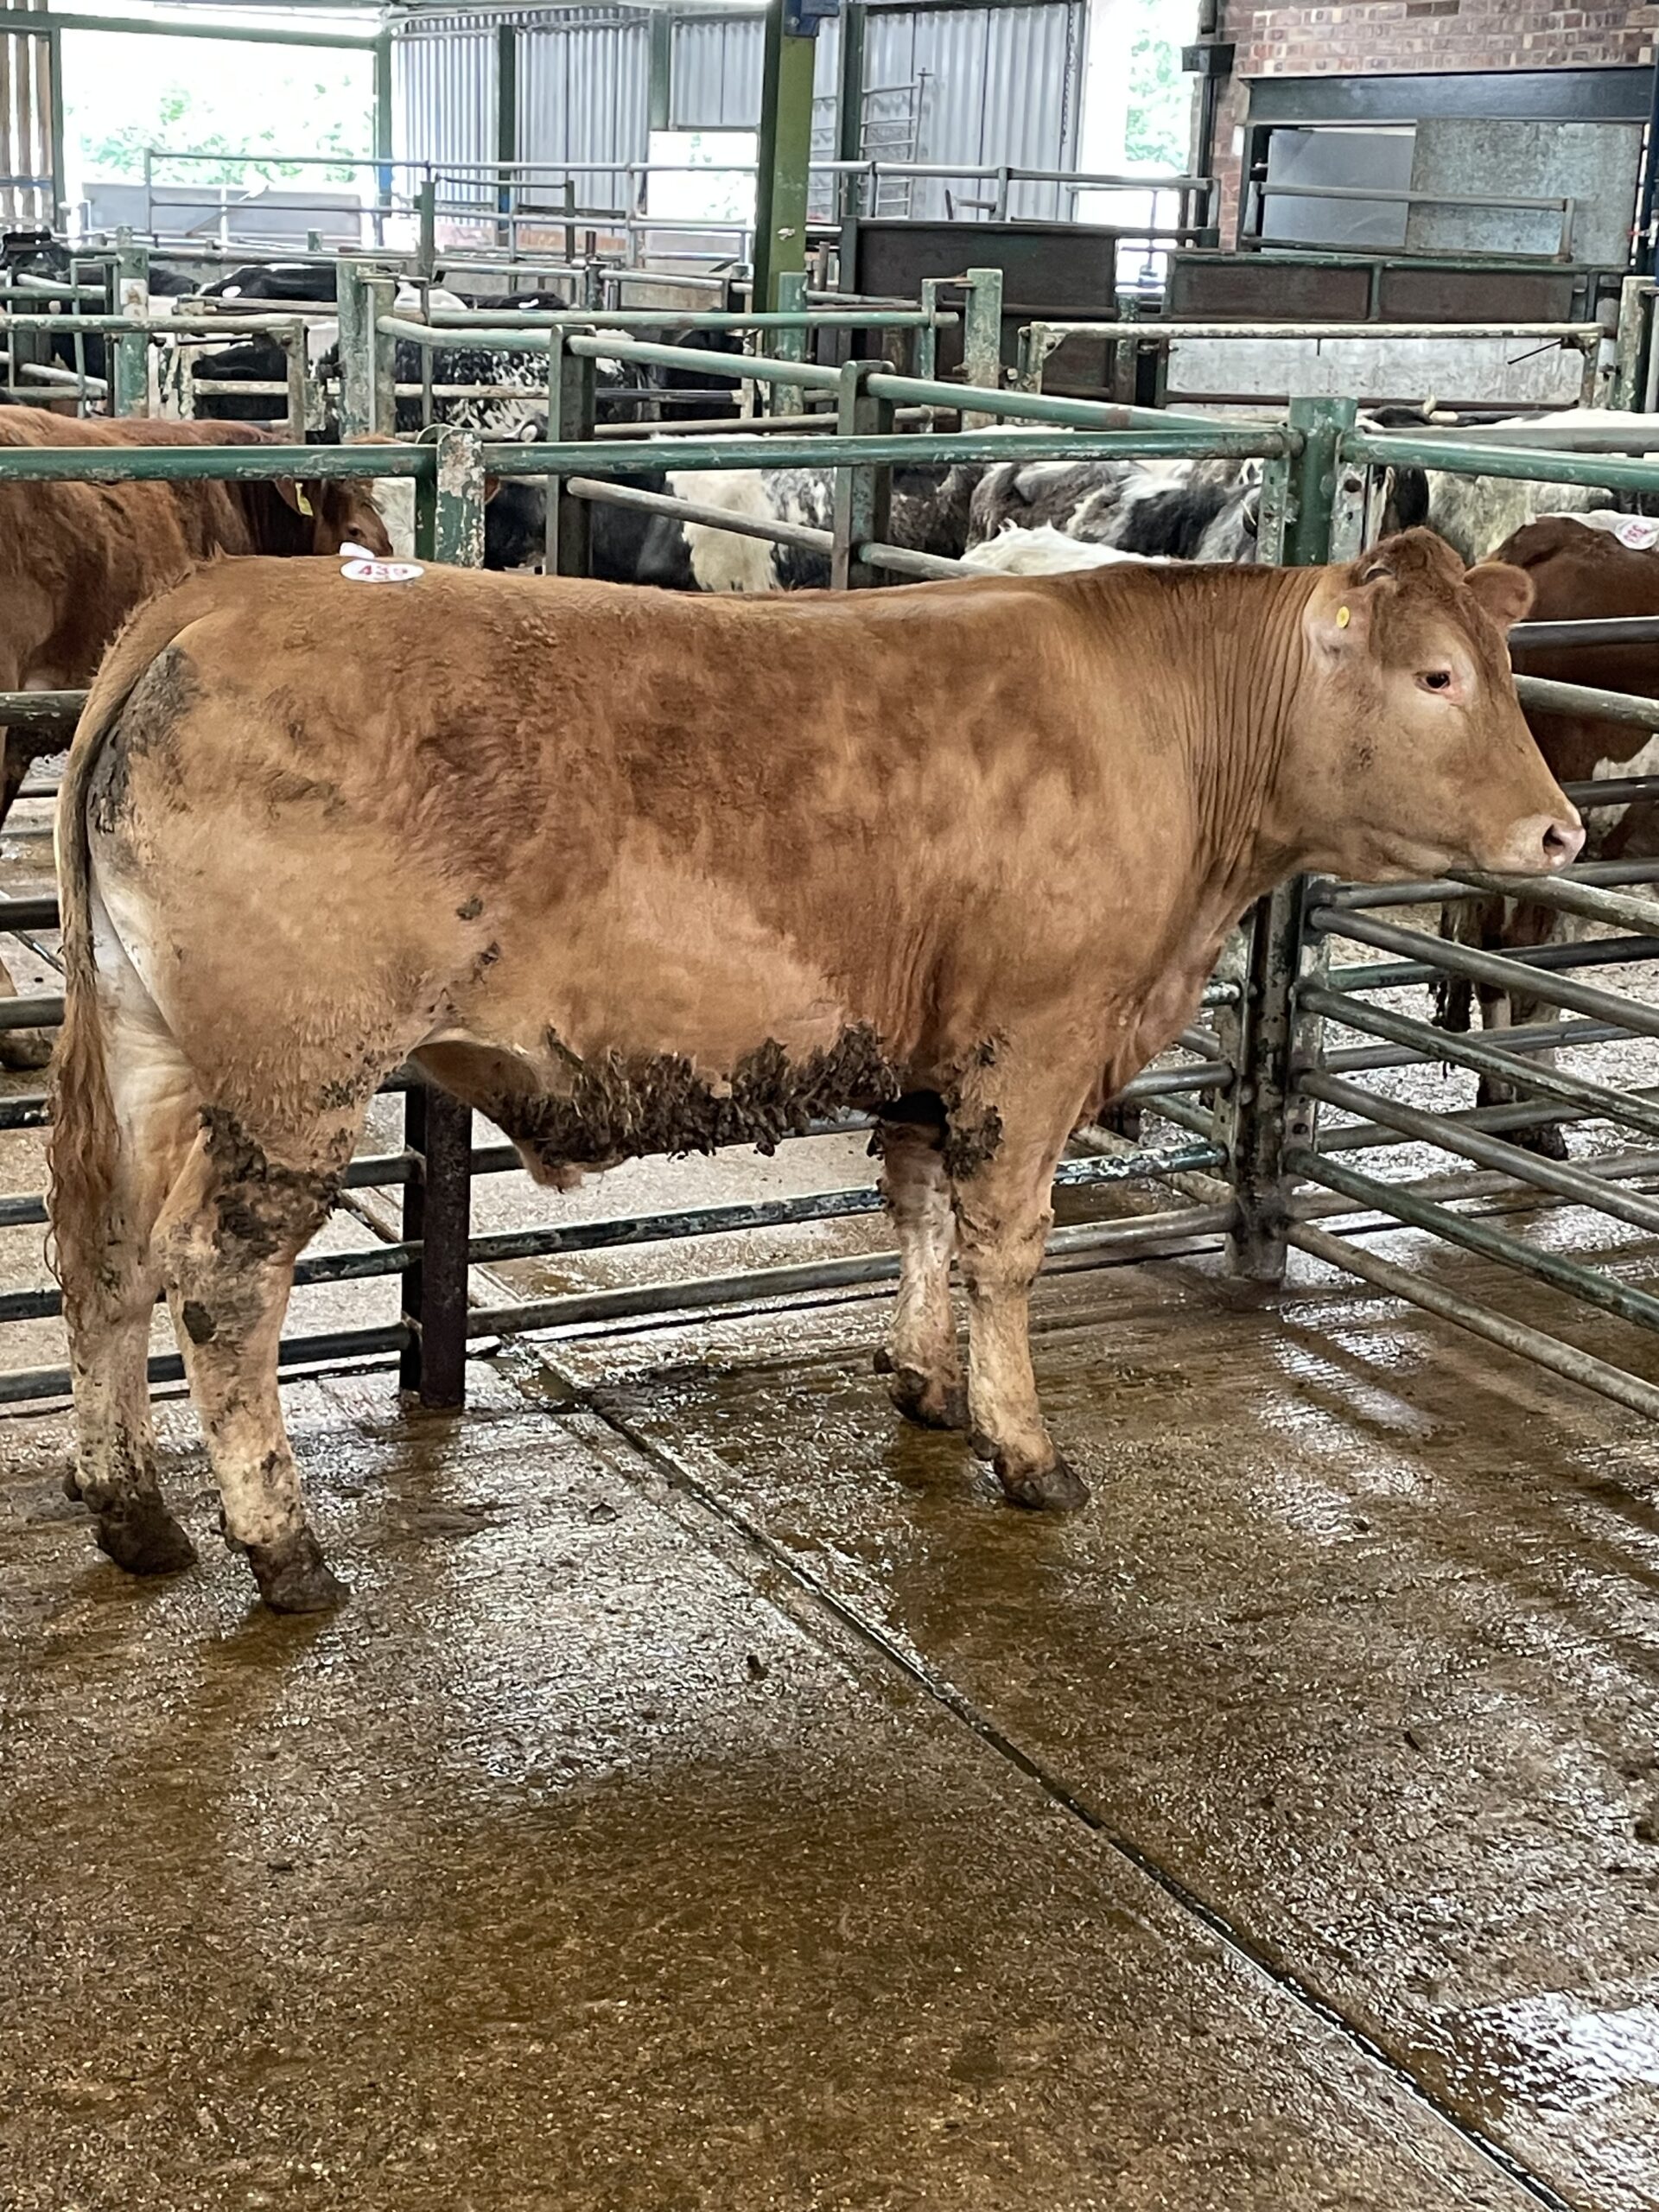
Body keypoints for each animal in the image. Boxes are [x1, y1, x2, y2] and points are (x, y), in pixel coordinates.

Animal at [45, 528, 1577, 1610]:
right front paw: (1026, 1448)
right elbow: (1006, 1244)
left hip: (147, 1052)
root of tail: (218, 600)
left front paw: (924, 1381)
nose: (1561, 832)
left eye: (1505, 671)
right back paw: (281, 1546)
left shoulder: (932, 1051)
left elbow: (918, 1207)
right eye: (1436, 677)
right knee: (221, 1282)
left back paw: (134, 1513)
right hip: (294, 1073)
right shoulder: (1036, 1038)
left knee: (105, 1250)